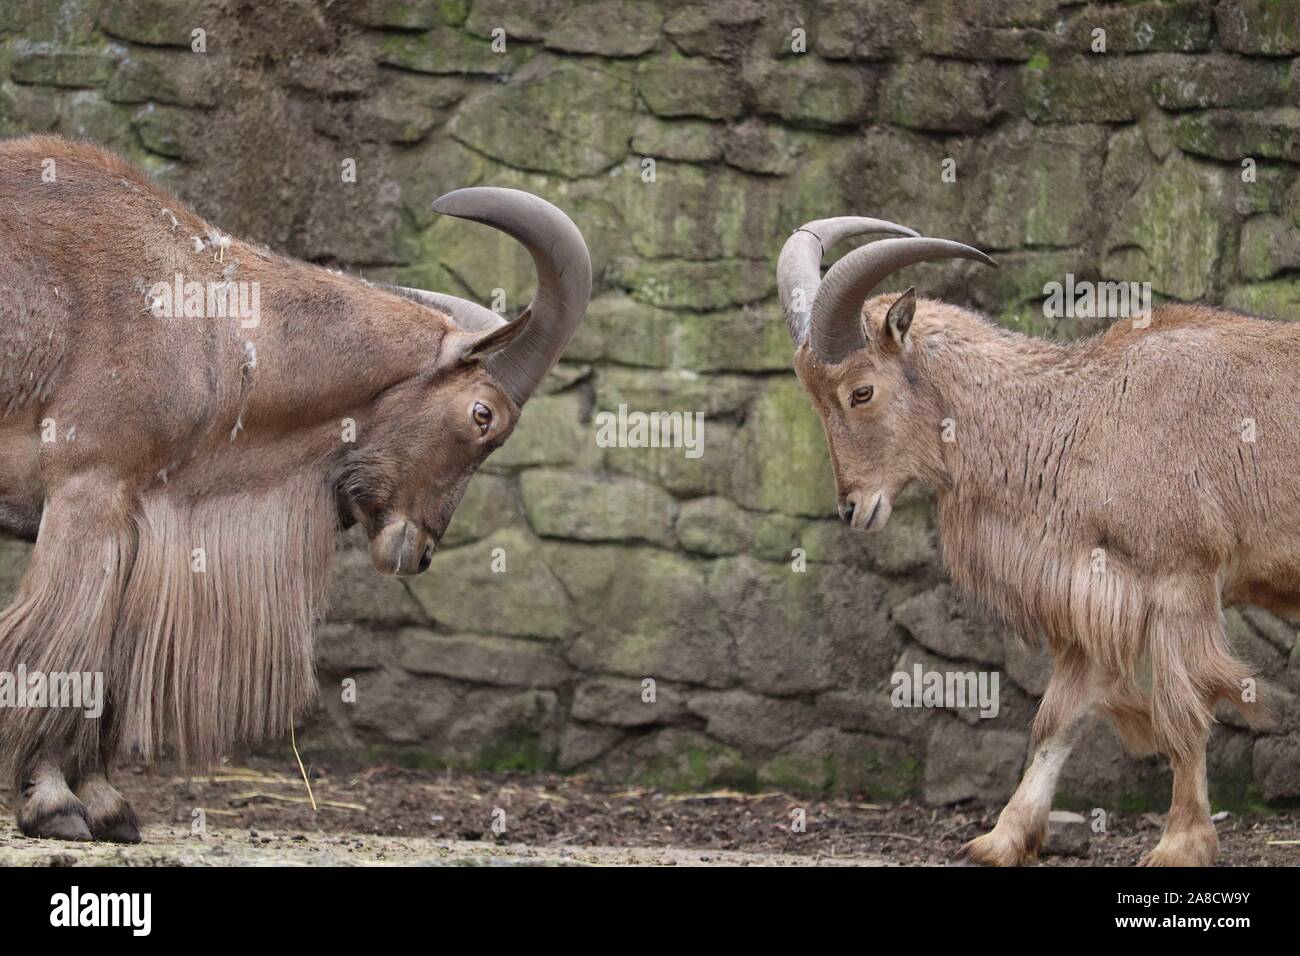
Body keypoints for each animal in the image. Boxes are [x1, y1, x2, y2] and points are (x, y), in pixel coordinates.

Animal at [0, 136, 591, 843]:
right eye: (483, 416)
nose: (416, 553)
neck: (209, 329)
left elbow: (109, 658)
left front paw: (107, 804)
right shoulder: (87, 491)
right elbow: (65, 644)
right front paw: (54, 803)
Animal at [777, 216, 1286, 866]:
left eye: (861, 392)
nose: (852, 508)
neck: (1081, 415)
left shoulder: (1180, 578)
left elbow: (1181, 713)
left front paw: (1180, 844)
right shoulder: (1094, 592)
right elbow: (1057, 719)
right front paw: (1000, 839)